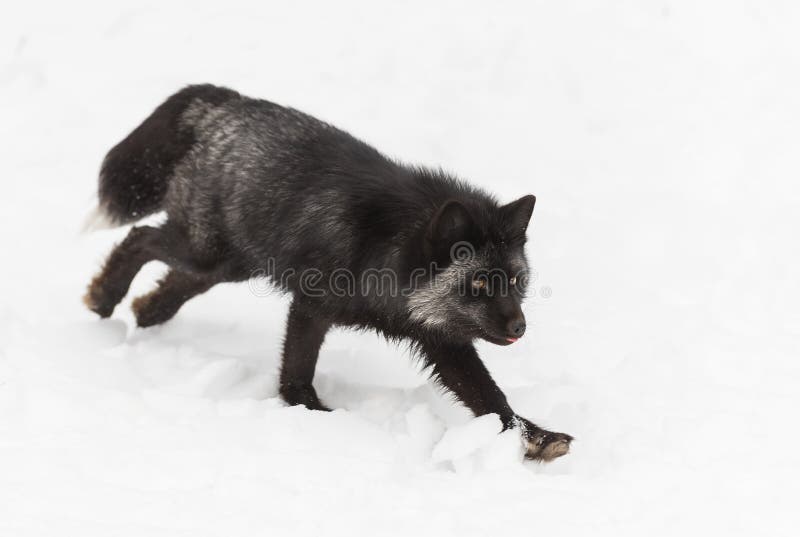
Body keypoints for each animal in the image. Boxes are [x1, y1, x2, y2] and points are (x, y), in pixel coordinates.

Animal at [84, 84, 572, 462]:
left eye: (516, 281)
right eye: (478, 283)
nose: (520, 327)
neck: (386, 254)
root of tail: (229, 102)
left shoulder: (440, 340)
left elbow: (490, 397)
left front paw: (533, 438)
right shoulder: (311, 306)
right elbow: (298, 368)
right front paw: (309, 413)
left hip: (230, 264)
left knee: (175, 282)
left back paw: (146, 311)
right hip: (205, 251)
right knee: (140, 237)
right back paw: (104, 297)